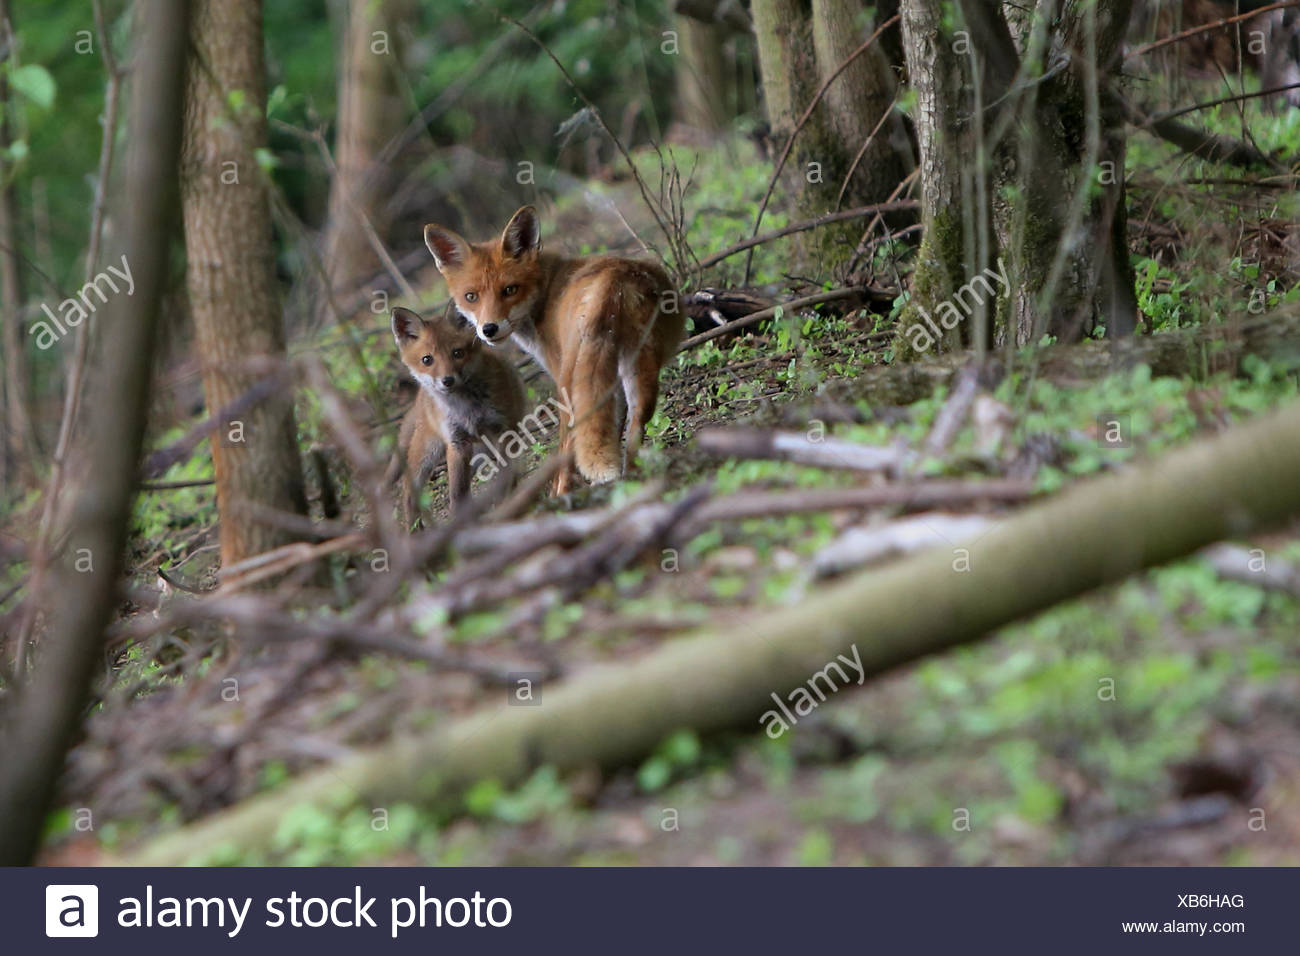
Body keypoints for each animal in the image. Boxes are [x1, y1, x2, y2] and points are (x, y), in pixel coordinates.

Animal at [390, 304, 525, 524]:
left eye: (457, 353)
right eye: (427, 360)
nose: (447, 380)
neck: (467, 408)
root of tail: (419, 397)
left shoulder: (504, 431)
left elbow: (506, 474)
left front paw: (507, 502)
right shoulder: (456, 443)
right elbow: (457, 493)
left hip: (480, 453)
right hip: (426, 453)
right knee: (408, 490)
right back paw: (413, 528)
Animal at [422, 205, 684, 494]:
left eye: (510, 290)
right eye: (471, 296)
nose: (489, 329)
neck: (545, 291)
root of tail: (614, 282)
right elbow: (615, 426)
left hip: (569, 383)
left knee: (568, 449)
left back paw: (561, 493)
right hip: (636, 368)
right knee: (636, 424)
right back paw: (634, 478)